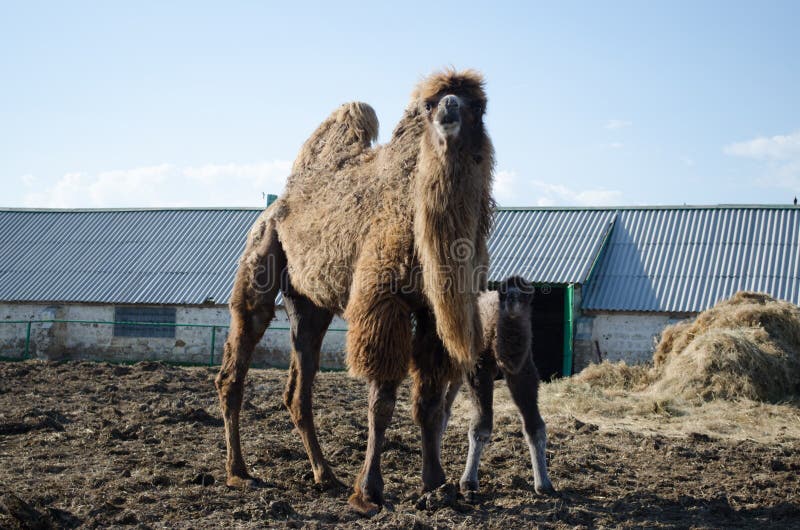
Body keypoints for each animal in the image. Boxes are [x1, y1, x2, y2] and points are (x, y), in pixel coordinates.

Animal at [215, 69, 494, 515]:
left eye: (478, 106)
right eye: (430, 103)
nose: (450, 107)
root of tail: (280, 201)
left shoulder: (432, 314)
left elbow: (429, 404)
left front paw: (437, 486)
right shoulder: (383, 302)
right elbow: (381, 403)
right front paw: (368, 493)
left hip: (309, 304)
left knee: (298, 388)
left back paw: (324, 475)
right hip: (260, 255)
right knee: (239, 354)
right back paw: (240, 473)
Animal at [444, 276, 555, 498]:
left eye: (526, 294)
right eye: (503, 292)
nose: (512, 299)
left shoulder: (522, 369)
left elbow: (535, 426)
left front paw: (544, 484)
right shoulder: (479, 367)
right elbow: (481, 426)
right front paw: (468, 482)